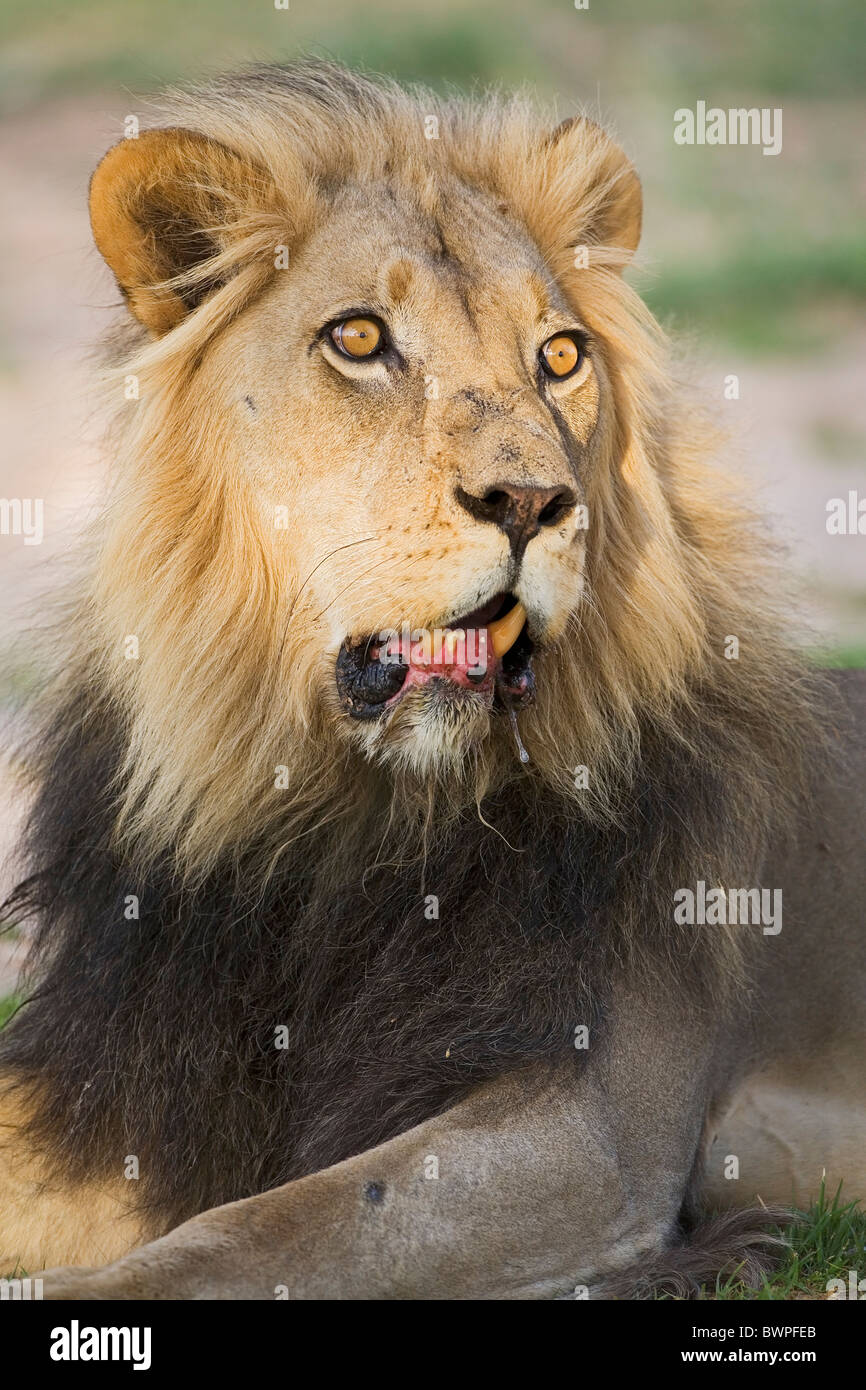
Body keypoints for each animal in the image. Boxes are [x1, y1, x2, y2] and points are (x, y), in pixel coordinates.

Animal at [0, 60, 863, 1299]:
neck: (334, 817)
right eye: (358, 338)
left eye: (559, 356)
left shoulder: (595, 1123)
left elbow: (261, 1230)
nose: (532, 501)